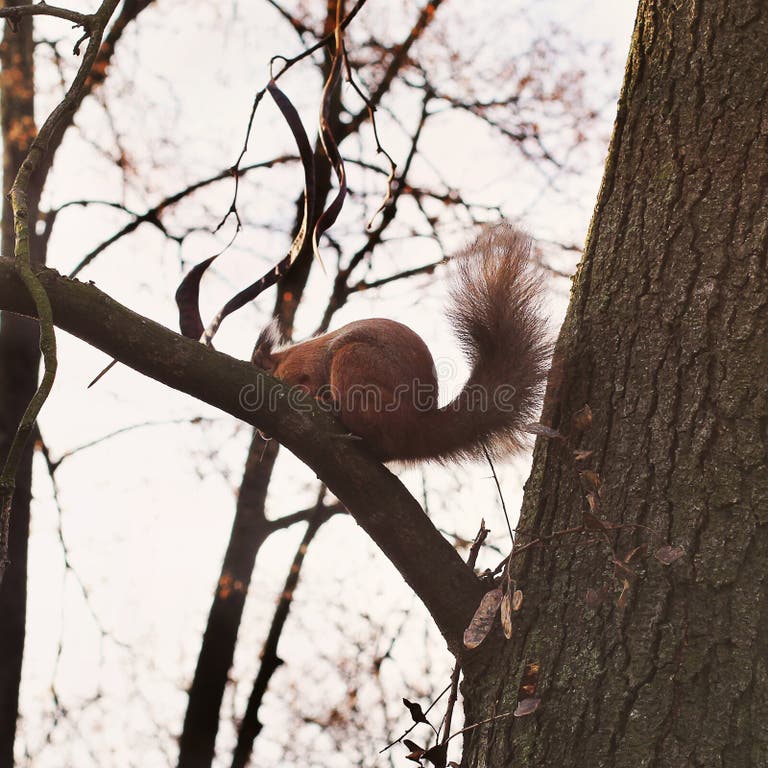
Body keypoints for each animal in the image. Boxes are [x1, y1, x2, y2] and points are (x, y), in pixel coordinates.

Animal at [252, 223, 550, 463]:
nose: (263, 434)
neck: (283, 360)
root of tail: (415, 427)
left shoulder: (304, 367)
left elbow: (307, 382)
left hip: (356, 365)